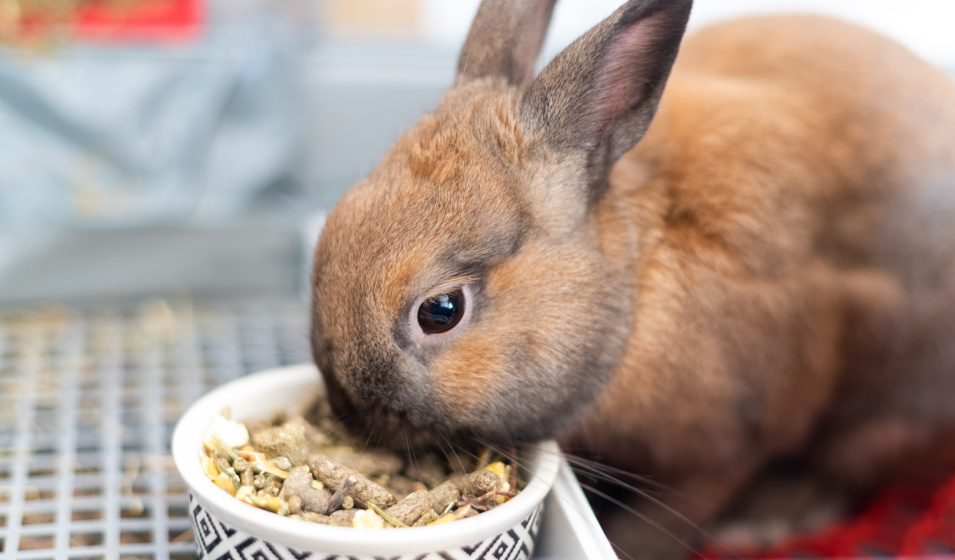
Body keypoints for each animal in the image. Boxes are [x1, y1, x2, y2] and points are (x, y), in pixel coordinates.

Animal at [310, 0, 955, 556]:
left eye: (440, 311)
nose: (347, 411)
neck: (636, 295)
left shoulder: (725, 450)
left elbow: (683, 512)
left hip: (885, 413)